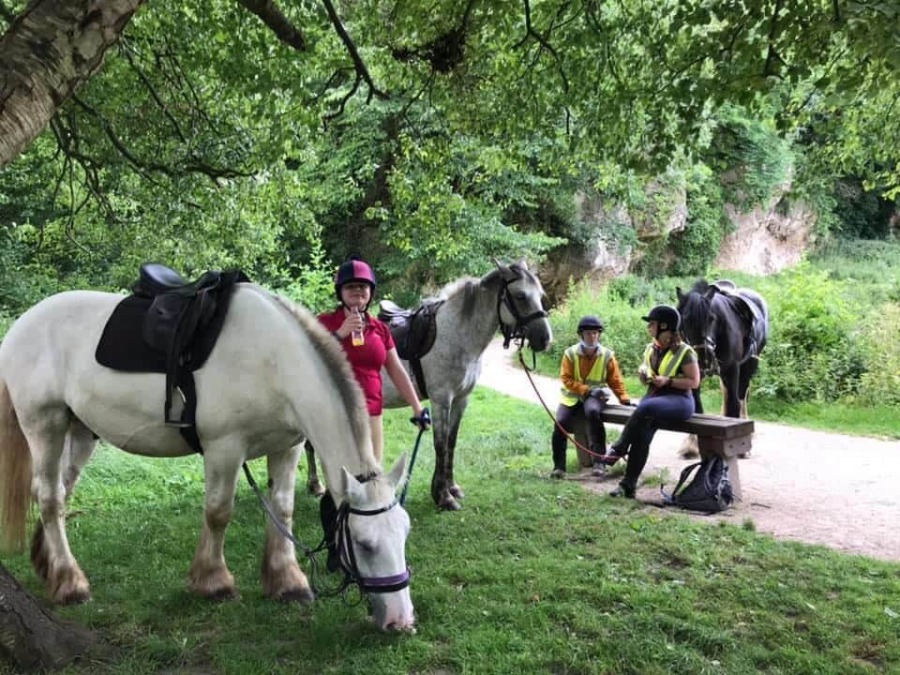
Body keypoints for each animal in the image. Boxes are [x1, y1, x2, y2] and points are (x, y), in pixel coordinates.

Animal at [0, 283, 416, 631]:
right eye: (364, 544)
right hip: (45, 426)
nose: (401, 621)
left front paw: (287, 581)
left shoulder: (287, 446)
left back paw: (48, 563)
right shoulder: (224, 448)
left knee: (61, 490)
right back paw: (71, 583)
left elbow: (282, 509)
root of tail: (23, 324)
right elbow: (218, 513)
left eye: (405, 535)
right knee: (50, 497)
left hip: (81, 432)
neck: (273, 360)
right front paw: (214, 582)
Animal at [306, 260, 553, 511]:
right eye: (520, 296)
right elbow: (440, 445)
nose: (545, 339)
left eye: (541, 295)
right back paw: (317, 485)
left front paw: (450, 487)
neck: (456, 334)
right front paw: (443, 496)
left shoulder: (461, 400)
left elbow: (451, 442)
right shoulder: (441, 400)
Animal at [676, 279, 770, 457]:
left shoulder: (732, 369)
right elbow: (697, 409)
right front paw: (692, 446)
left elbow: (734, 404)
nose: (702, 358)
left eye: (711, 318)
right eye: (684, 319)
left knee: (742, 395)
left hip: (749, 366)